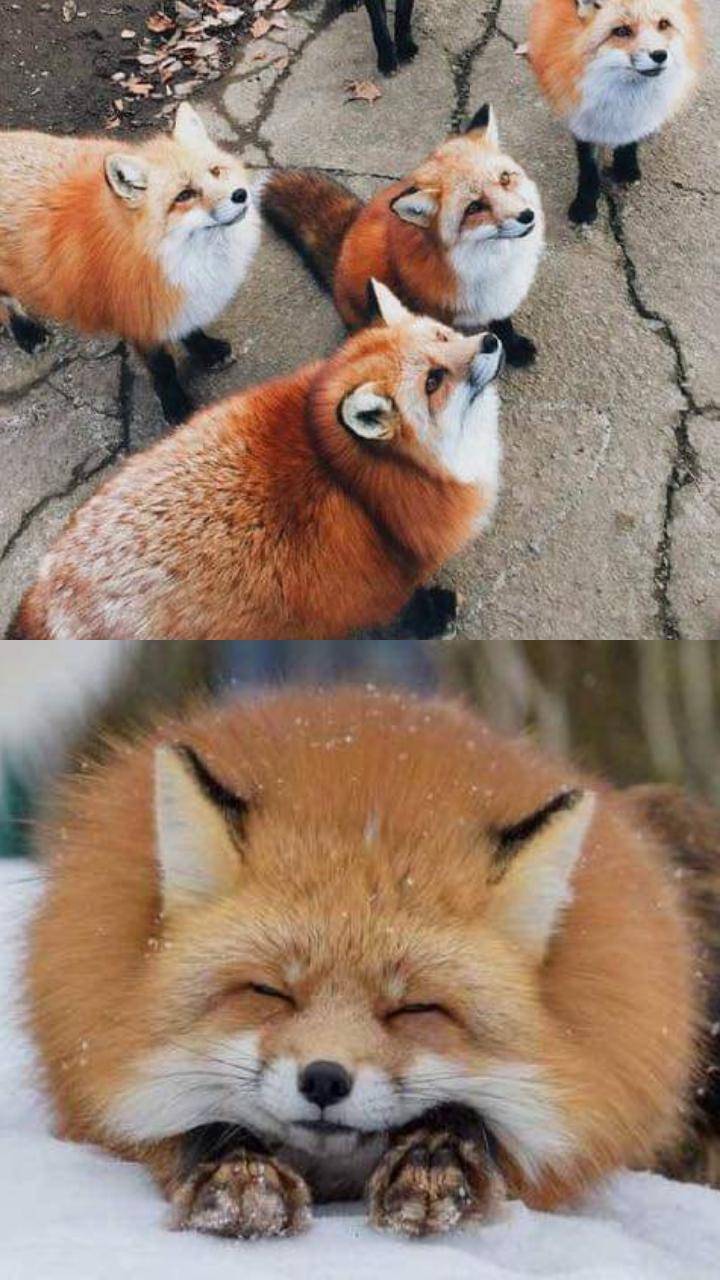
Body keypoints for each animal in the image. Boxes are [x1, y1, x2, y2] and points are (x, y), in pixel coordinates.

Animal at [0, 104, 259, 424]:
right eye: (184, 195)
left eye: (216, 171)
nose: (240, 194)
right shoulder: (136, 315)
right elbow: (163, 368)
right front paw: (176, 406)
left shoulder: (170, 301)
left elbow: (189, 329)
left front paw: (207, 351)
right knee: (6, 301)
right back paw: (26, 331)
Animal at [8, 283, 503, 640]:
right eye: (433, 380)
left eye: (442, 335)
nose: (492, 339)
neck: (353, 479)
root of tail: (41, 594)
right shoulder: (379, 582)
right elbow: (405, 609)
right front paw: (434, 614)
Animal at [23, 687, 720, 1241]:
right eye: (270, 992)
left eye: (415, 1008)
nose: (324, 1080)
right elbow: (201, 1127)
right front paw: (237, 1178)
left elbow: (469, 1118)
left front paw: (436, 1162)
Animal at [262, 104, 544, 368]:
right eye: (474, 208)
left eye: (505, 179)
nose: (527, 216)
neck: (489, 263)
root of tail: (345, 239)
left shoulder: (499, 296)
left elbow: (503, 324)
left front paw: (514, 347)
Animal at [528, 0, 704, 224]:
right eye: (621, 31)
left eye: (664, 24)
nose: (660, 55)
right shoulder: (581, 112)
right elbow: (588, 168)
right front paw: (585, 205)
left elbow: (631, 138)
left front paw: (626, 167)